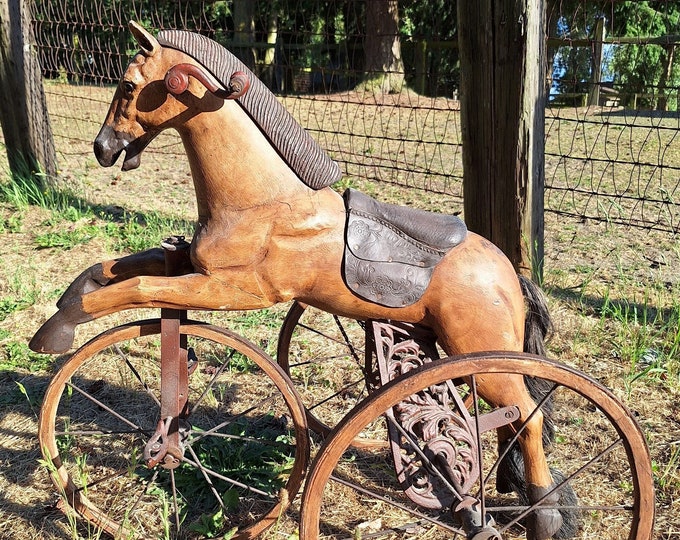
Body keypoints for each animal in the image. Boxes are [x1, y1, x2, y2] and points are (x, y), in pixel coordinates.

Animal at [30, 22, 576, 539]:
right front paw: (60, 310)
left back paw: (544, 515)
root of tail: (509, 275)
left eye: (128, 85)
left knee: (529, 417)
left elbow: (134, 288)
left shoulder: (236, 291)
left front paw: (57, 331)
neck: (263, 200)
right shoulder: (189, 262)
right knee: (509, 421)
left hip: (482, 357)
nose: (102, 148)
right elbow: (113, 269)